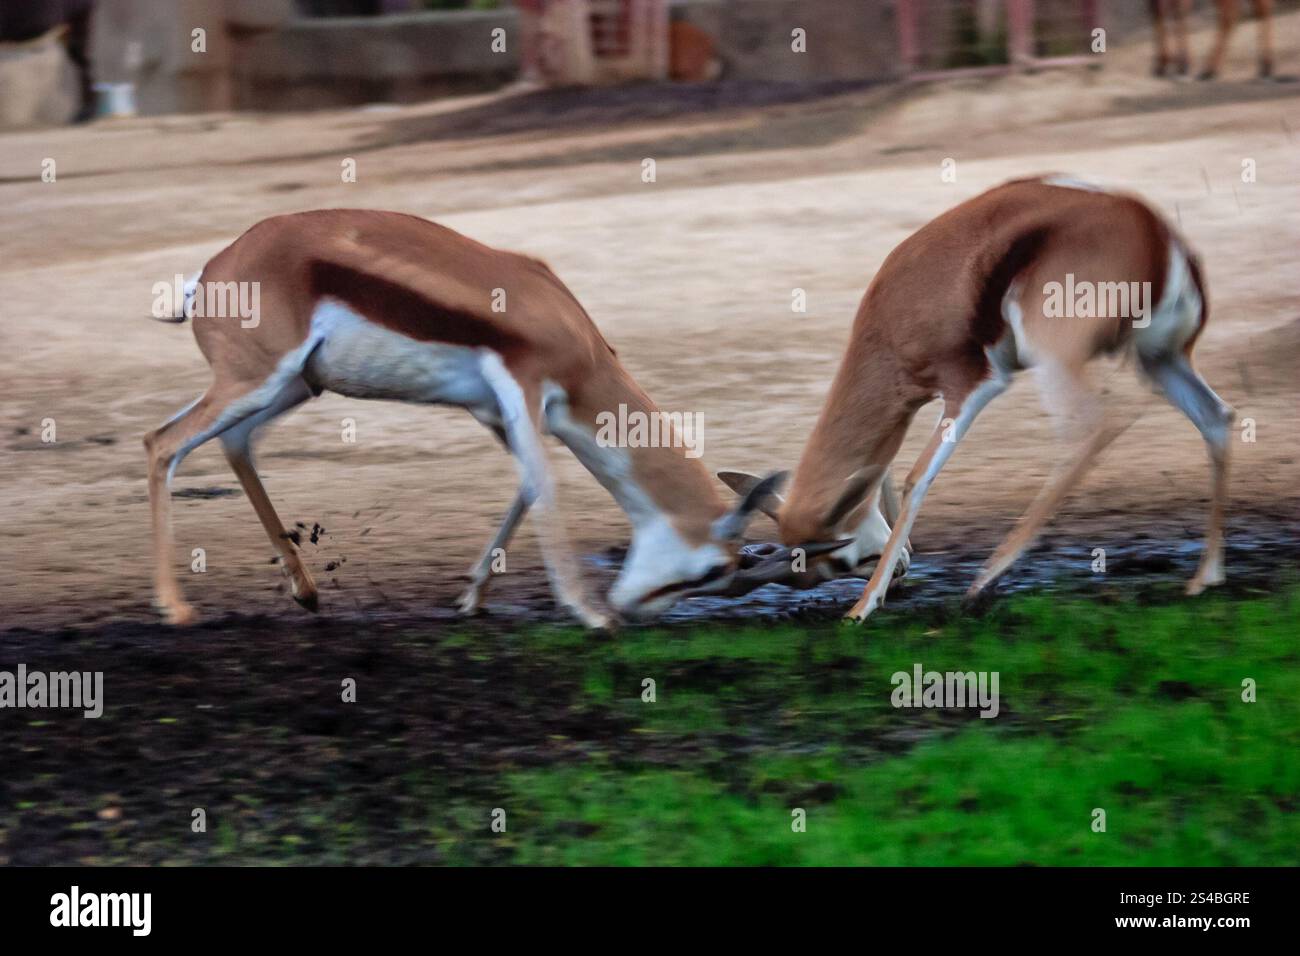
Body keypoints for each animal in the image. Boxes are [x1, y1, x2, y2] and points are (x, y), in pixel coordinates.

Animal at [144, 209, 784, 629]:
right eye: (712, 569)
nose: (634, 611)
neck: (573, 334)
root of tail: (211, 271)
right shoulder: (521, 389)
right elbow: (545, 488)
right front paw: (589, 614)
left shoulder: (499, 412)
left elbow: (525, 486)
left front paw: (472, 598)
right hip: (256, 382)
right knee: (161, 442)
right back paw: (175, 608)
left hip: (289, 385)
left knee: (233, 444)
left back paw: (305, 593)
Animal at [717, 177, 1233, 624]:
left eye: (840, 559)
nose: (900, 571)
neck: (893, 315)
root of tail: (1157, 232)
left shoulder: (972, 383)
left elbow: (916, 477)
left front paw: (861, 608)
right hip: (1161, 358)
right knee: (1217, 418)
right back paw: (1204, 578)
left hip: (1060, 359)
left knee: (1094, 427)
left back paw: (982, 582)